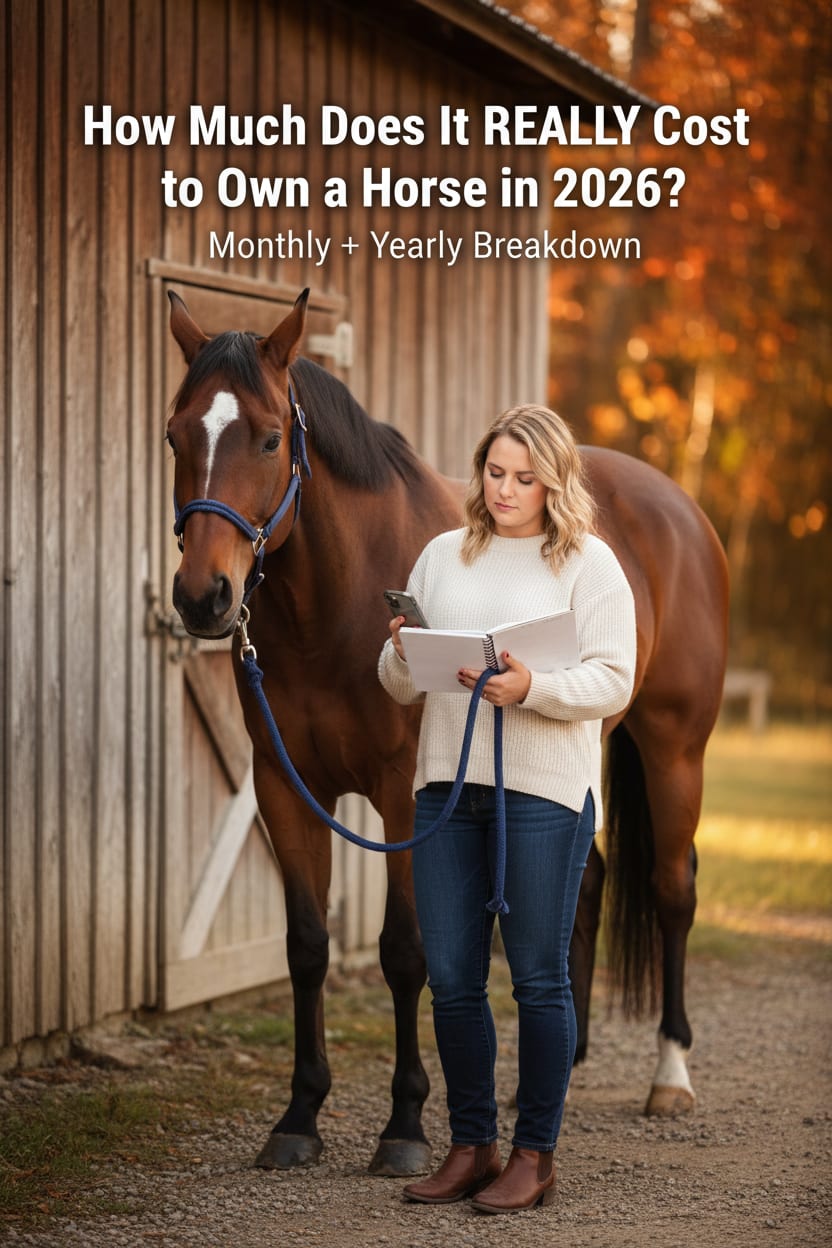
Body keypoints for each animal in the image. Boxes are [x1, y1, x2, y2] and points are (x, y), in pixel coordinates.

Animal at [166, 289, 729, 1173]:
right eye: (174, 433)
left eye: (267, 436)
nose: (202, 597)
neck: (337, 602)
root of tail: (680, 509)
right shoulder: (282, 787)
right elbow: (306, 946)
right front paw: (299, 1116)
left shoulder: (408, 794)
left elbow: (406, 952)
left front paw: (404, 1125)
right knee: (586, 883)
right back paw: (559, 1066)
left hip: (676, 750)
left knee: (673, 890)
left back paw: (670, 1076)